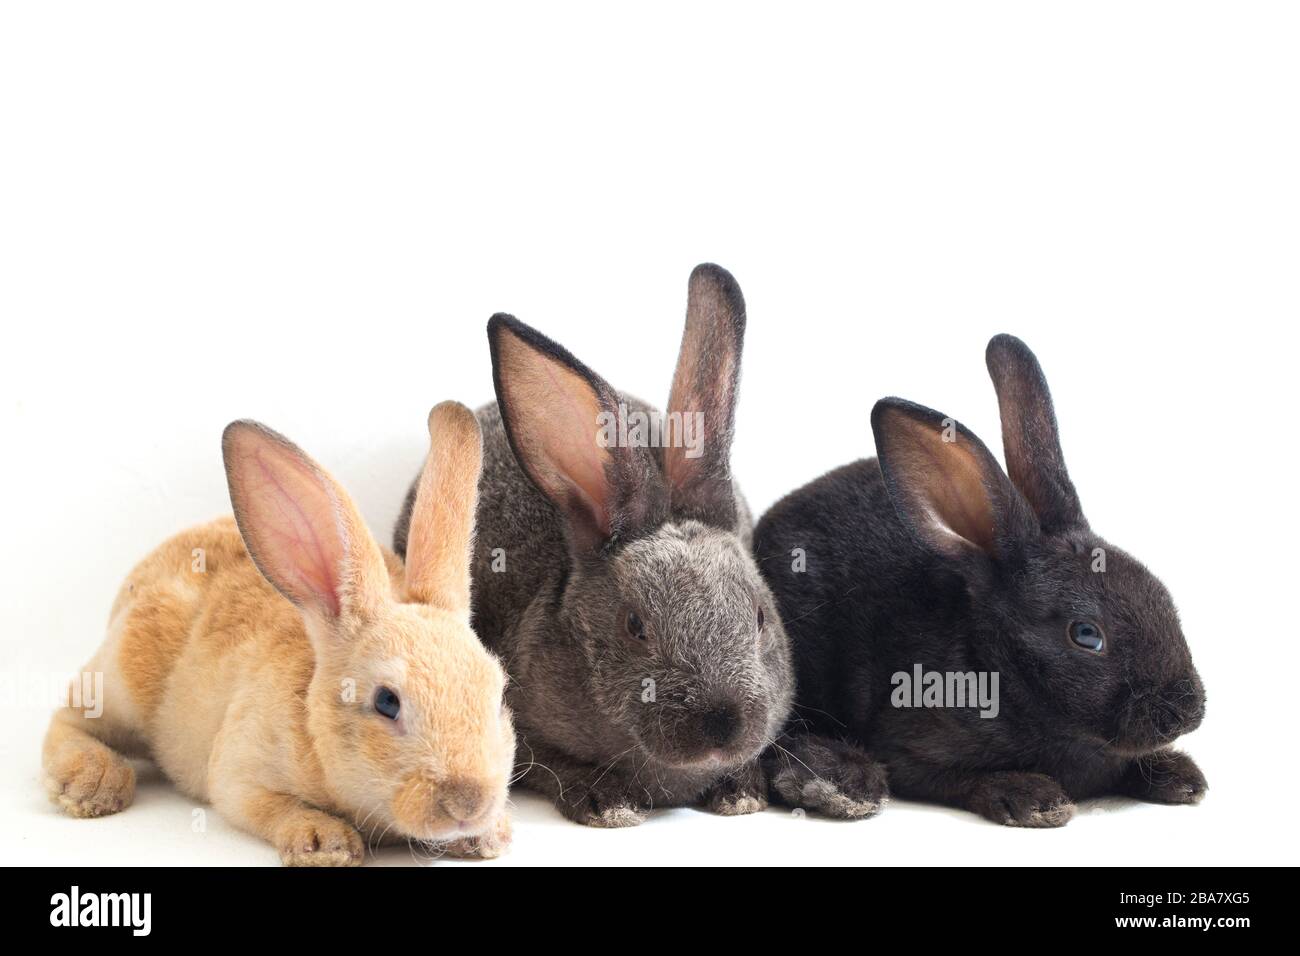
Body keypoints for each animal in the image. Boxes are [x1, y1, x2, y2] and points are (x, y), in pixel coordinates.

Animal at [42, 402, 516, 864]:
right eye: (386, 702)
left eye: (498, 697)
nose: (468, 802)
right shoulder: (239, 775)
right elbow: (266, 806)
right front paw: (325, 843)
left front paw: (488, 837)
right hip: (123, 679)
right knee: (70, 716)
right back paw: (93, 782)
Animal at [393, 264, 885, 825]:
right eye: (634, 626)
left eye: (761, 617)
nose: (721, 727)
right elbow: (549, 765)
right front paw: (607, 801)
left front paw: (741, 792)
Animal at [753, 334, 1207, 827]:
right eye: (1087, 634)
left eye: (1161, 593)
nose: (1188, 712)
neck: (997, 668)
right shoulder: (911, 748)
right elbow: (955, 779)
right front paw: (1031, 796)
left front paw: (1181, 777)